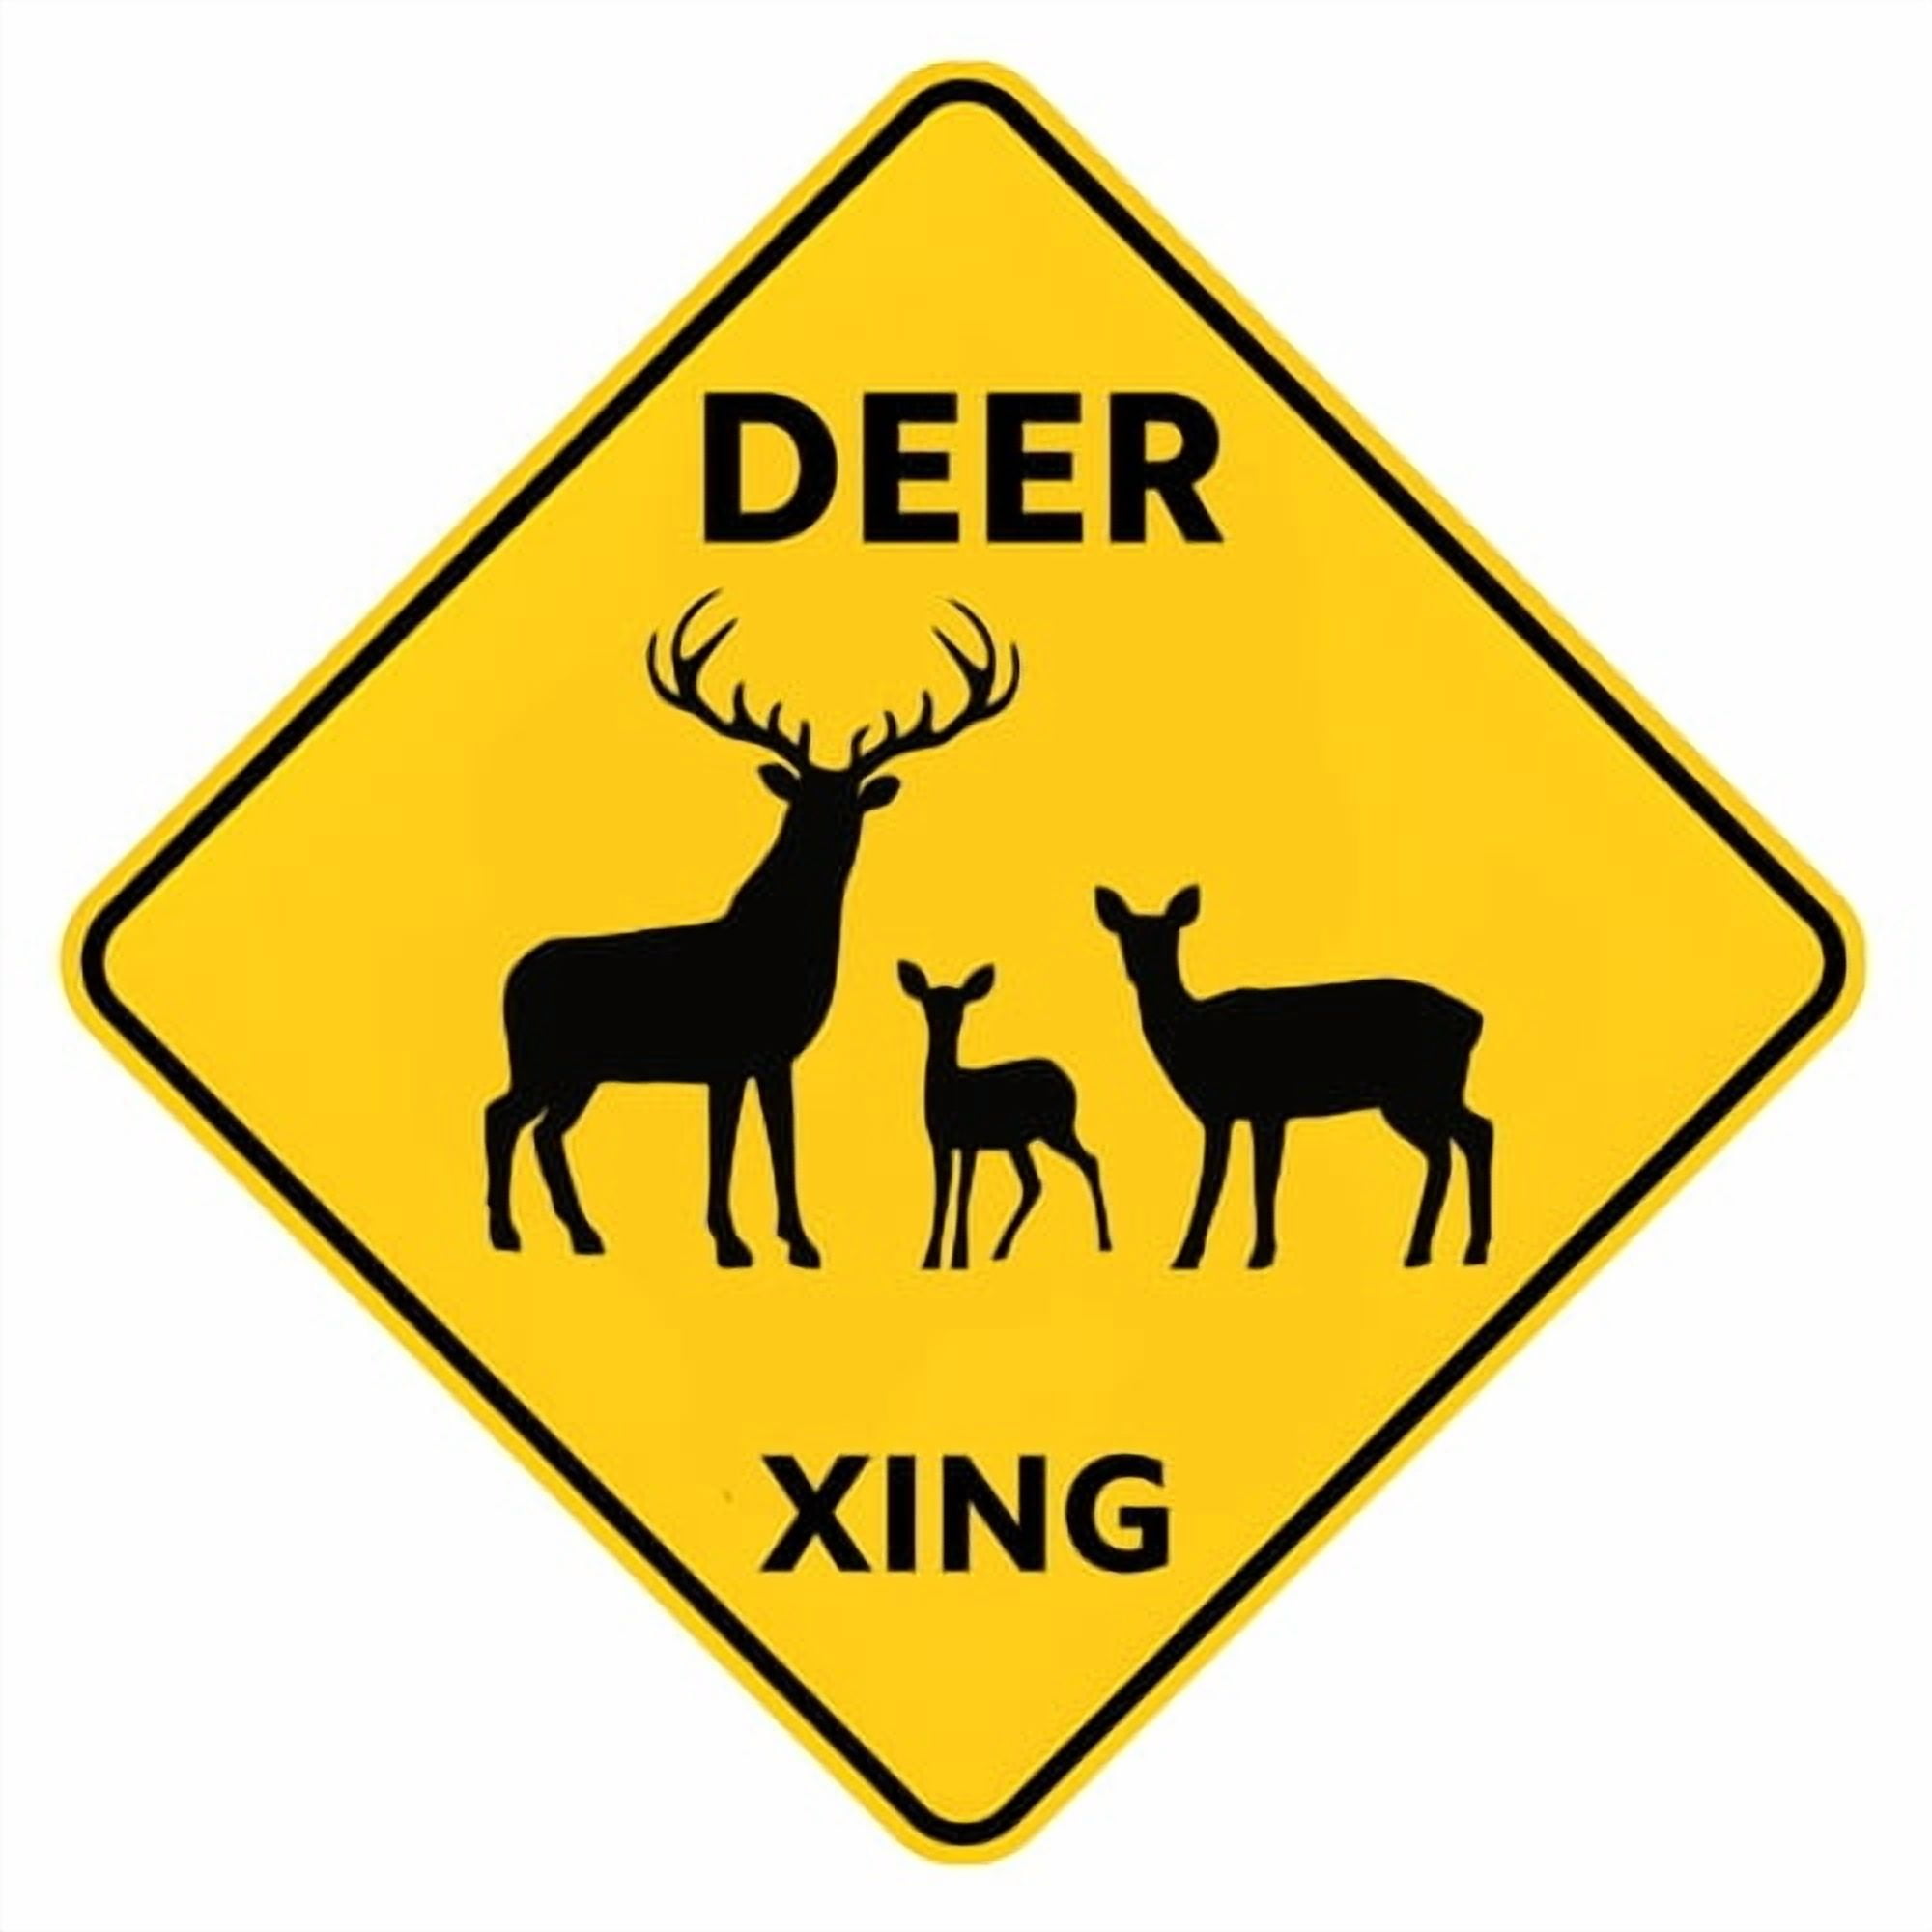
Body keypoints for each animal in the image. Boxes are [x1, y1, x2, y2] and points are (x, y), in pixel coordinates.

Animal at [484, 591, 1020, 1268]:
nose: (829, 837)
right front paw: (733, 1243)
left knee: (543, 1130)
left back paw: (582, 1234)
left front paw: (800, 1242)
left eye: (851, 803)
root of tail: (510, 980)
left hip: (577, 1071)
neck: (780, 947)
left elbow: (779, 1142)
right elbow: (727, 1147)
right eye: (803, 800)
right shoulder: (727, 1053)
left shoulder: (772, 1055)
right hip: (545, 1059)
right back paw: (507, 1233)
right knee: (502, 1115)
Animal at [896, 962, 1111, 1269]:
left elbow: (963, 1193)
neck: (951, 1088)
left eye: (960, 1005)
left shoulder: (970, 1141)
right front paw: (931, 1260)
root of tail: (1066, 1079)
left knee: (1088, 1161)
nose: (945, 1023)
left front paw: (960, 1259)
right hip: (1019, 1141)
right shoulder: (939, 1142)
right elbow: (942, 1193)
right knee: (1034, 1183)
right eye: (929, 1003)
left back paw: (1105, 1241)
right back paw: (999, 1249)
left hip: (1057, 1128)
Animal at [1094, 885, 1493, 1271]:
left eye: (1168, 936)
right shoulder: (1239, 1113)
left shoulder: (1254, 1108)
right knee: (1455, 1144)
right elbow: (1249, 1177)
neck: (1193, 1035)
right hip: (1422, 1096)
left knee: (1471, 1135)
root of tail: (1474, 1021)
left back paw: (1463, 1248)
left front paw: (1214, 1256)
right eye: (1127, 935)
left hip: (1421, 1091)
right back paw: (1433, 1251)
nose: (1143, 970)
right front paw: (1245, 1253)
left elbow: (1243, 1180)